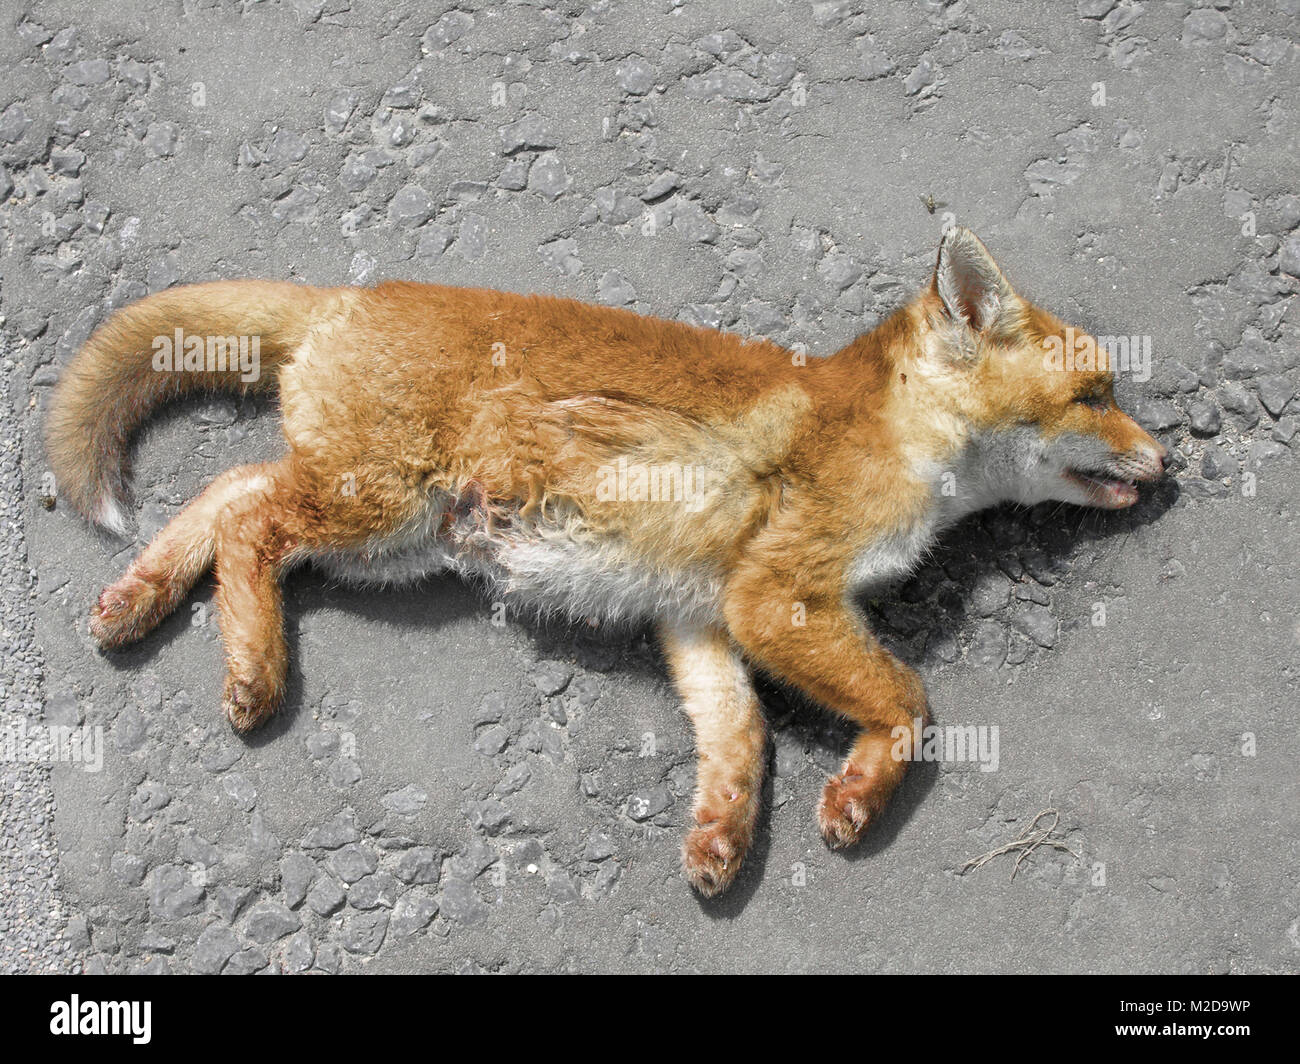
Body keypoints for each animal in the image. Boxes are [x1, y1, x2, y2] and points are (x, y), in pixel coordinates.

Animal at [45, 227, 1167, 897]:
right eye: (1097, 393)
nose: (1171, 460)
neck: (897, 436)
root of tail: (342, 299)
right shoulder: (777, 598)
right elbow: (909, 699)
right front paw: (857, 797)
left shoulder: (703, 614)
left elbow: (739, 737)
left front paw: (720, 839)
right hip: (376, 512)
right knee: (247, 527)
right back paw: (253, 670)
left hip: (389, 540)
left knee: (224, 491)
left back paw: (135, 598)